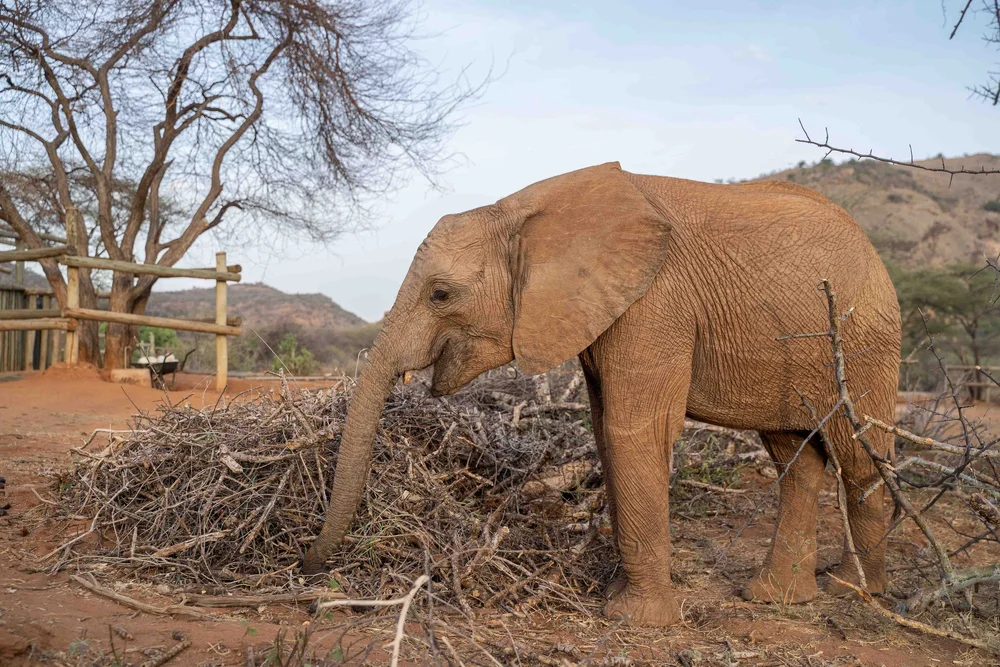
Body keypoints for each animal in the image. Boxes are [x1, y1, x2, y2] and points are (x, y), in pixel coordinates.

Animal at [302, 162, 901, 627]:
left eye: (442, 294)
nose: (309, 569)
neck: (519, 211)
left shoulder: (654, 303)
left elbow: (633, 430)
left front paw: (635, 620)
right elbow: (603, 427)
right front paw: (615, 597)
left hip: (862, 342)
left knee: (858, 455)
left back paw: (856, 591)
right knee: (795, 456)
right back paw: (778, 598)